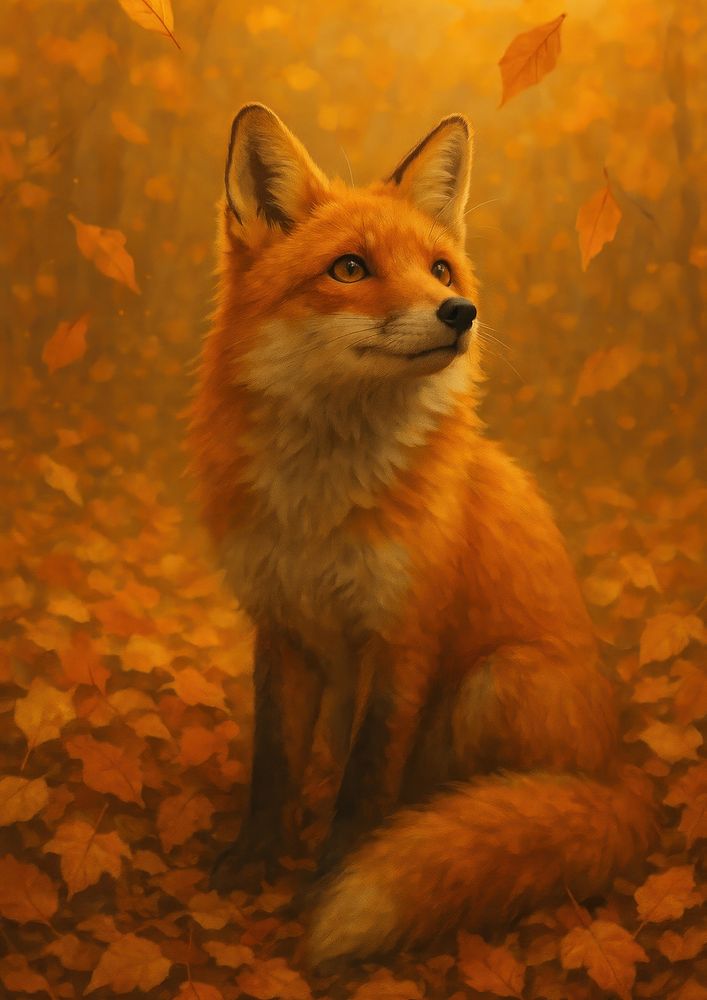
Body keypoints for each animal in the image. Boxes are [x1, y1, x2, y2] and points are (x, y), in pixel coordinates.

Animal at [188, 103, 655, 967]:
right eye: (348, 269)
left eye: (440, 271)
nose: (459, 314)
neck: (323, 502)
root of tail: (619, 771)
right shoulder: (282, 627)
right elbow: (273, 765)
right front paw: (252, 863)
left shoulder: (403, 635)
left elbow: (365, 779)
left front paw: (334, 876)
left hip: (497, 681)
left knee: (493, 798)